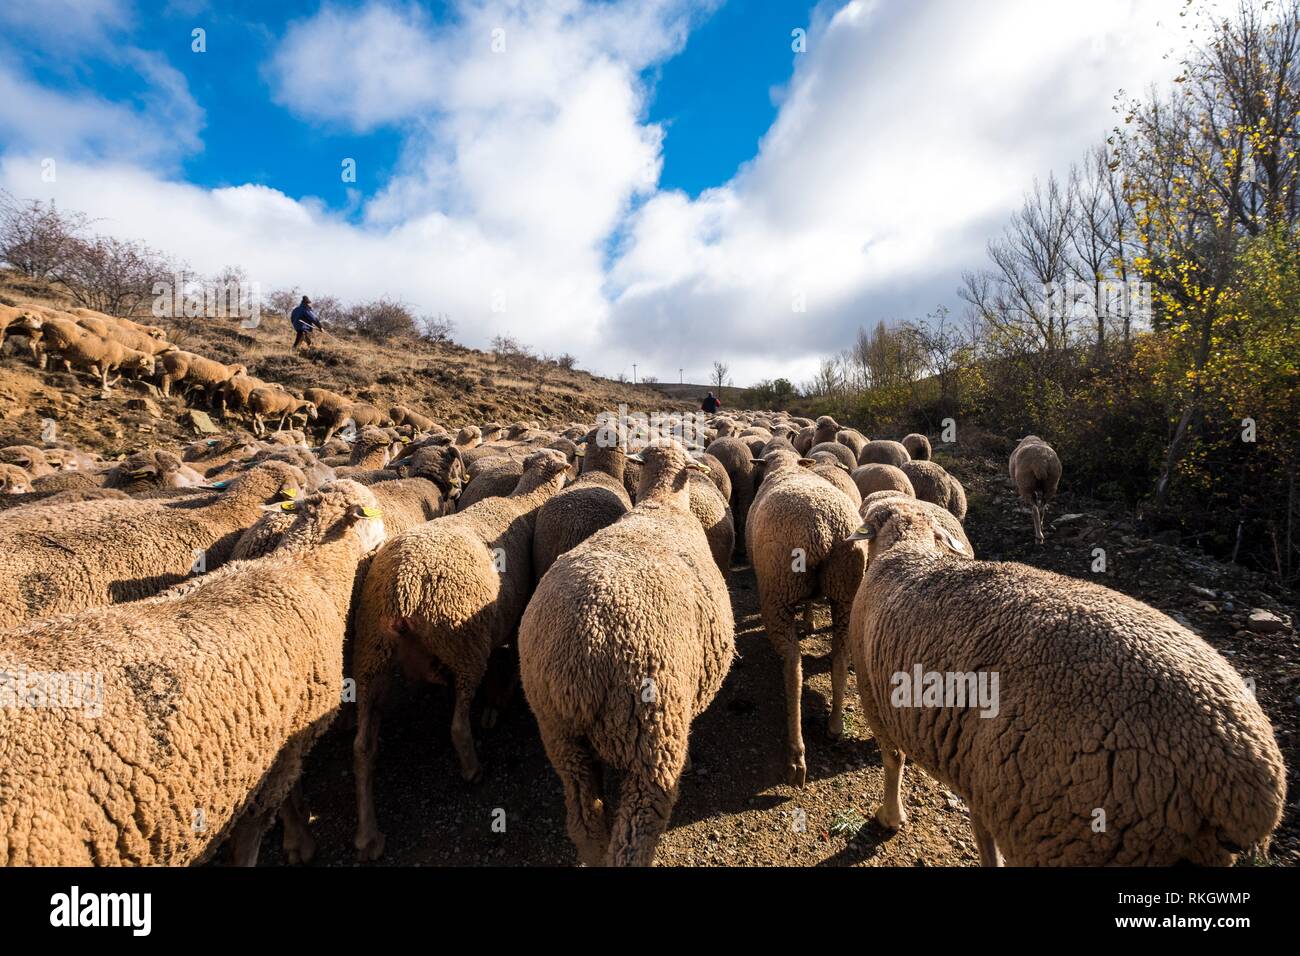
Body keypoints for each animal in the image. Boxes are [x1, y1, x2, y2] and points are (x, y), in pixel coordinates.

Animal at [0, 480, 387, 866]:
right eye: (372, 512)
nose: (385, 538)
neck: (305, 571)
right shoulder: (286, 741)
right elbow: (263, 822)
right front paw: (299, 842)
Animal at [351, 449, 573, 859]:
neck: (521, 503)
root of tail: (402, 590)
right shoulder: (511, 617)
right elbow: (507, 664)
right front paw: (497, 702)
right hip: (463, 641)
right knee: (456, 724)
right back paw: (473, 768)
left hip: (371, 656)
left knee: (362, 748)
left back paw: (368, 836)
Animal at [746, 447, 866, 785]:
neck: (786, 467)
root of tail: (824, 527)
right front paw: (810, 621)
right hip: (846, 590)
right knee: (840, 656)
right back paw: (835, 725)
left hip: (778, 590)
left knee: (793, 668)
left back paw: (795, 757)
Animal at [845, 495, 1286, 866]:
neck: (912, 548)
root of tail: (1242, 780)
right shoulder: (983, 778)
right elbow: (982, 831)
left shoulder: (873, 691)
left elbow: (893, 759)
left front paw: (890, 816)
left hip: (1077, 830)